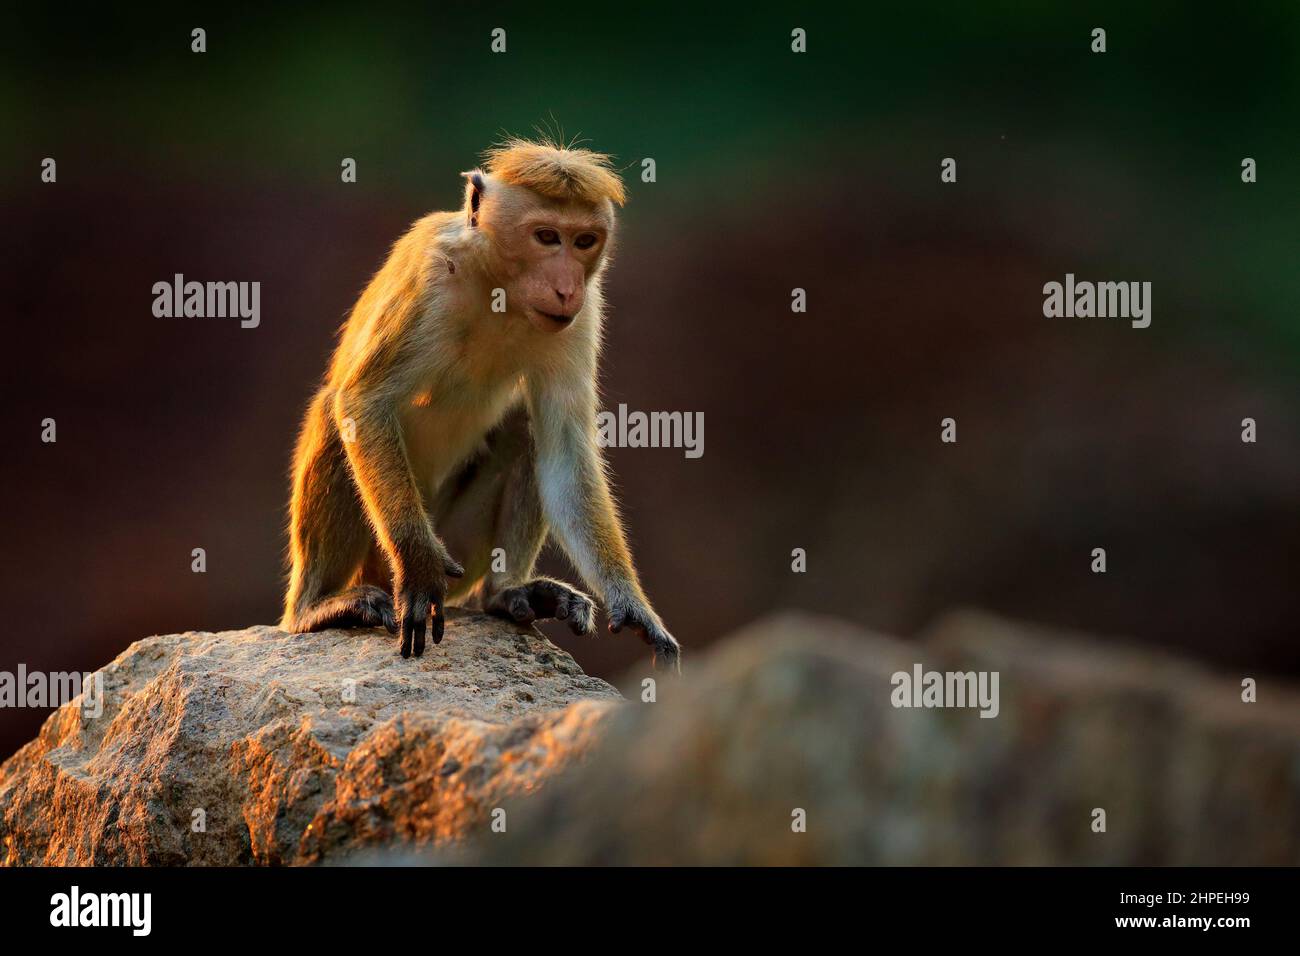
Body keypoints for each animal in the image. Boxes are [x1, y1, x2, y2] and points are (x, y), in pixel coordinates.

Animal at [280, 136, 680, 671]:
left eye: (584, 242)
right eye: (547, 237)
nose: (566, 287)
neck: (501, 290)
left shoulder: (584, 312)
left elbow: (564, 451)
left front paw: (631, 604)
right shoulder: (430, 273)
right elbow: (364, 402)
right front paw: (420, 564)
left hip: (462, 550)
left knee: (524, 428)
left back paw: (506, 594)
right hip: (385, 553)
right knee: (333, 410)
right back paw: (316, 606)